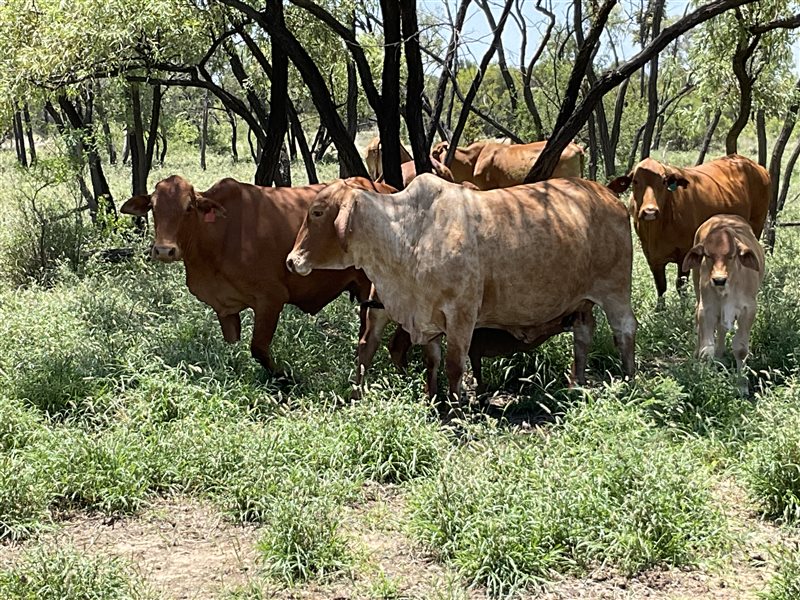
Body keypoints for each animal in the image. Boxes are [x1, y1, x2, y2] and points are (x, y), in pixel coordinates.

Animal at [120, 175, 394, 374]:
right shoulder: (225, 308)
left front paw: (284, 377)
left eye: (189, 207)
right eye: (153, 207)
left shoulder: (270, 299)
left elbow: (258, 349)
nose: (164, 250)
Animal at [286, 174, 636, 412]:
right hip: (583, 302)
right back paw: (576, 385)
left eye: (317, 212)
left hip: (616, 291)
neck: (410, 235)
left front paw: (456, 410)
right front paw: (431, 400)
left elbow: (455, 366)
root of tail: (609, 195)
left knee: (624, 332)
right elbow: (432, 361)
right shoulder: (425, 319)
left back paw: (629, 382)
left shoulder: (461, 315)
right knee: (584, 334)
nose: (291, 261)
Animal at [608, 154, 770, 302]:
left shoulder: (684, 254)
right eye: (635, 181)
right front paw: (660, 310)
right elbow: (661, 287)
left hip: (757, 224)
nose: (650, 211)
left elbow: (681, 285)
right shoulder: (652, 257)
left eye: (663, 181)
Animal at [681, 214, 765, 395]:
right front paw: (704, 381)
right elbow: (706, 351)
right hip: (698, 292)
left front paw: (741, 385)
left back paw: (720, 355)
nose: (719, 279)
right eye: (707, 255)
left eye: (732, 256)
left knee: (721, 329)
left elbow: (741, 349)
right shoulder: (706, 309)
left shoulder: (748, 310)